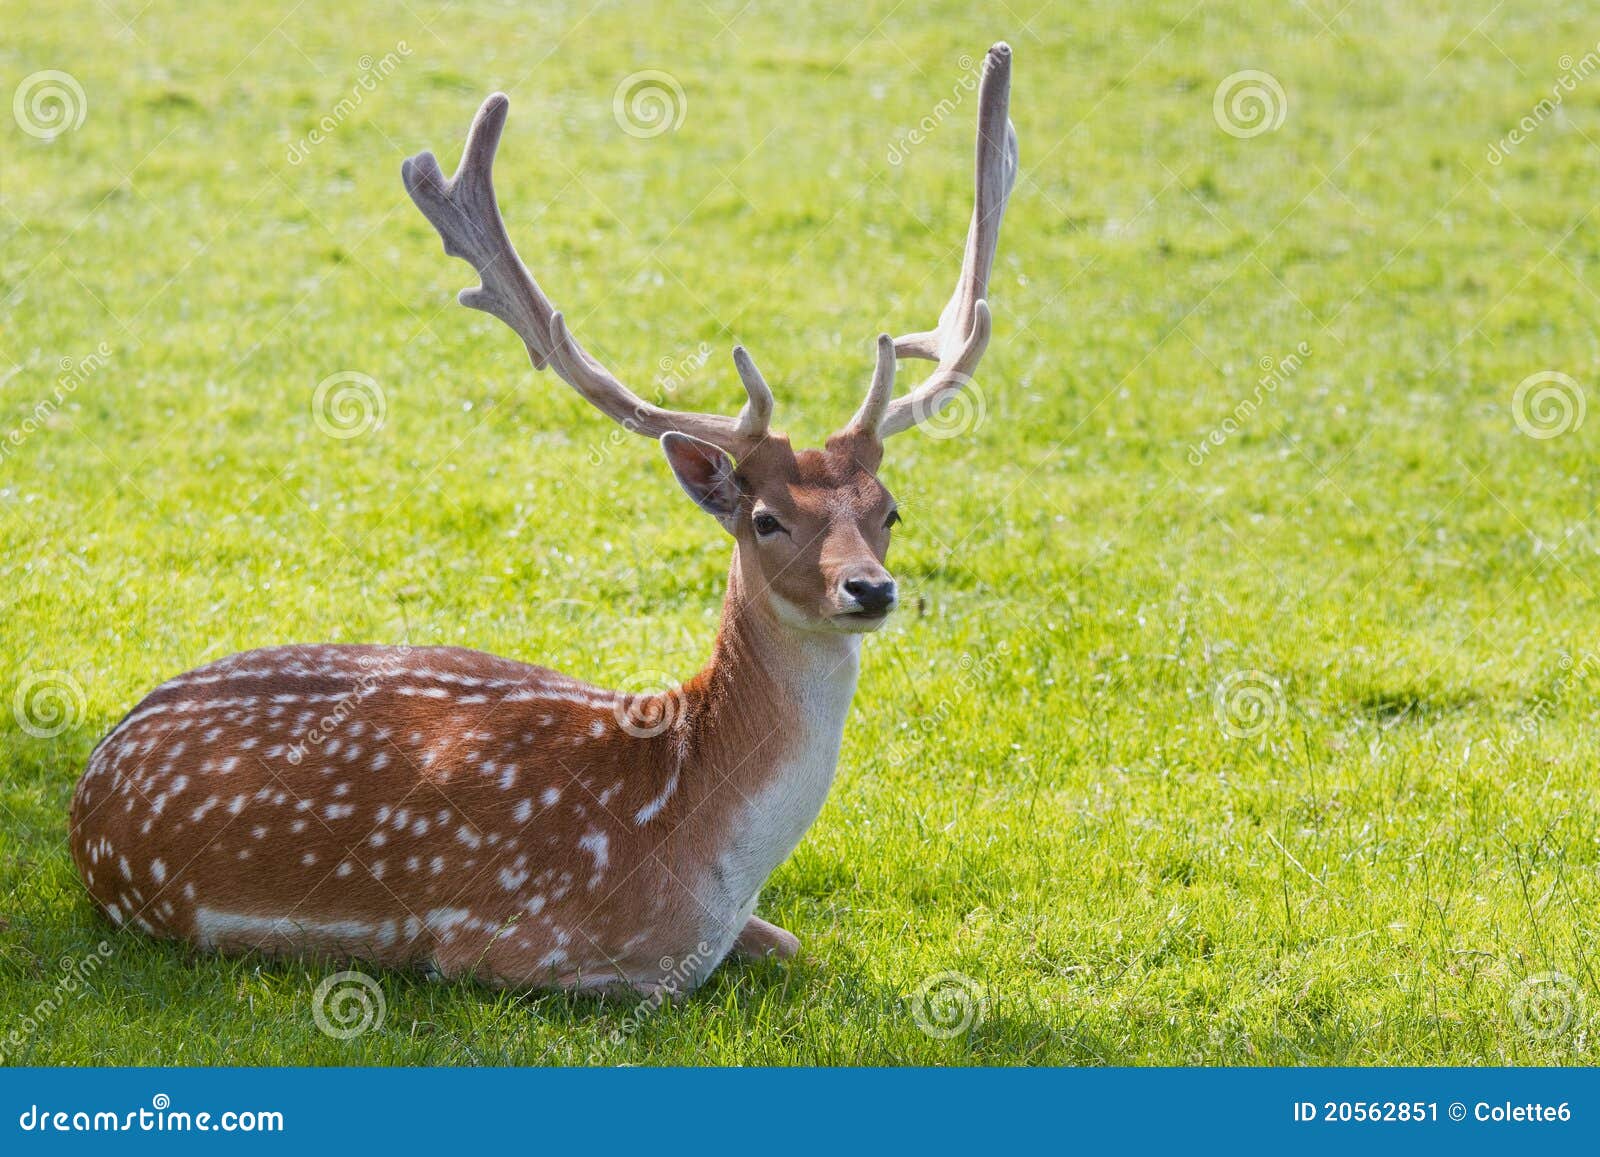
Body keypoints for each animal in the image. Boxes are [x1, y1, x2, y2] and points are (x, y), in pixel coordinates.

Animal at [68, 43, 1018, 997]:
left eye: (890, 509)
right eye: (765, 518)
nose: (870, 588)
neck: (699, 850)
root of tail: (91, 774)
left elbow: (791, 941)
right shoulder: (501, 941)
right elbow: (656, 982)